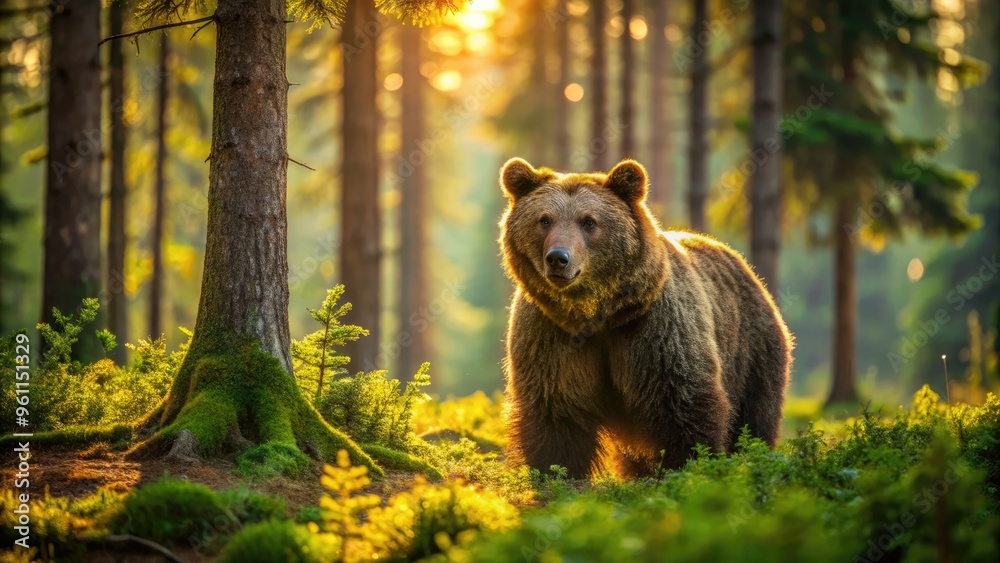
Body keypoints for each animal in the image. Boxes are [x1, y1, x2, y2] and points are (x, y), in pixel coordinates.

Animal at [498, 157, 793, 478]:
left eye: (589, 221)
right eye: (544, 220)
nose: (558, 258)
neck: (597, 315)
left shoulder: (654, 329)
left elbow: (682, 403)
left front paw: (686, 468)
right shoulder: (551, 332)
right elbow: (556, 413)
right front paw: (558, 474)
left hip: (752, 350)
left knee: (753, 419)